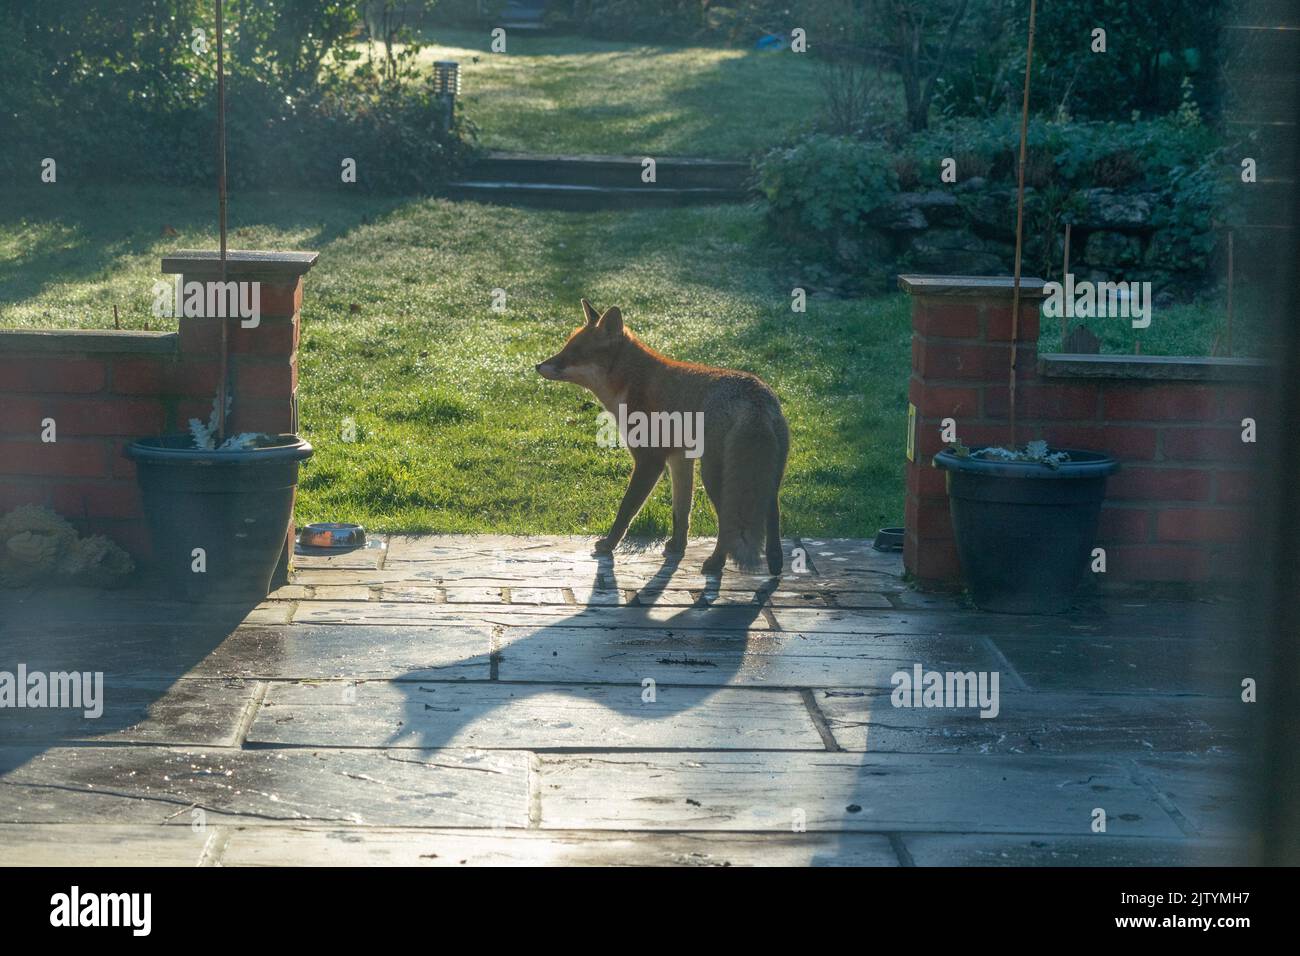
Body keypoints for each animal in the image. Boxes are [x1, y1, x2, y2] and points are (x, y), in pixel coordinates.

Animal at [536, 299, 789, 575]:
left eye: (574, 352)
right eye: (565, 347)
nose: (537, 366)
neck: (633, 383)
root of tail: (756, 400)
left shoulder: (650, 461)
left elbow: (626, 510)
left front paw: (609, 545)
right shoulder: (679, 460)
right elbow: (681, 512)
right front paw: (677, 547)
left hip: (714, 475)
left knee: (728, 522)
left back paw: (716, 563)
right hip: (767, 477)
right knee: (773, 514)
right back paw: (775, 564)